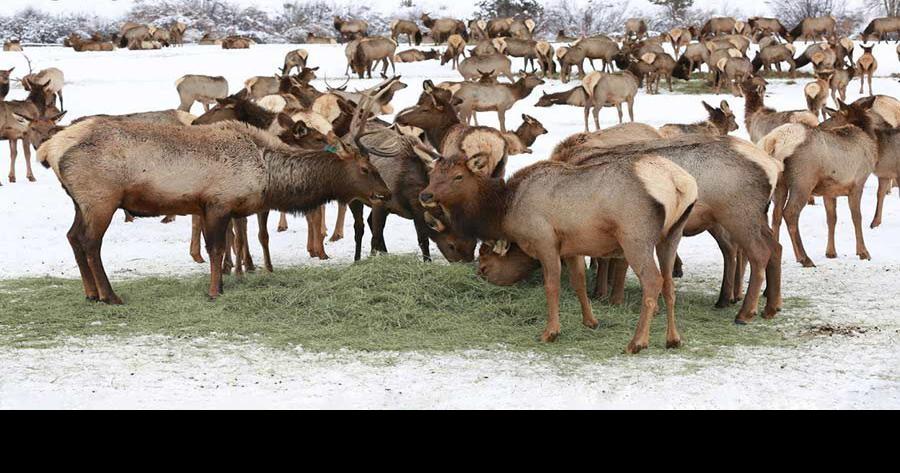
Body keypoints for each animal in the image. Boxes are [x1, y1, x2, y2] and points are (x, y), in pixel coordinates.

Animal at [418, 144, 698, 353]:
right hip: (671, 235)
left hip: (635, 235)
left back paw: (637, 342)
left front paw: (550, 332)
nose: (425, 195)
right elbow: (579, 283)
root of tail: (679, 183)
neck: (505, 210)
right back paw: (674, 339)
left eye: (458, 176)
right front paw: (590, 321)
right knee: (668, 283)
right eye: (432, 175)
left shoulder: (545, 240)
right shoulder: (572, 247)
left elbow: (551, 286)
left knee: (652, 280)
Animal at [761, 99, 878, 268]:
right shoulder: (857, 183)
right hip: (803, 181)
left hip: (780, 184)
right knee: (790, 213)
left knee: (776, 215)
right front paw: (863, 252)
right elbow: (857, 217)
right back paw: (805, 258)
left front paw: (831, 252)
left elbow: (831, 219)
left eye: (833, 116)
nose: (820, 125)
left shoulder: (829, 191)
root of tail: (773, 141)